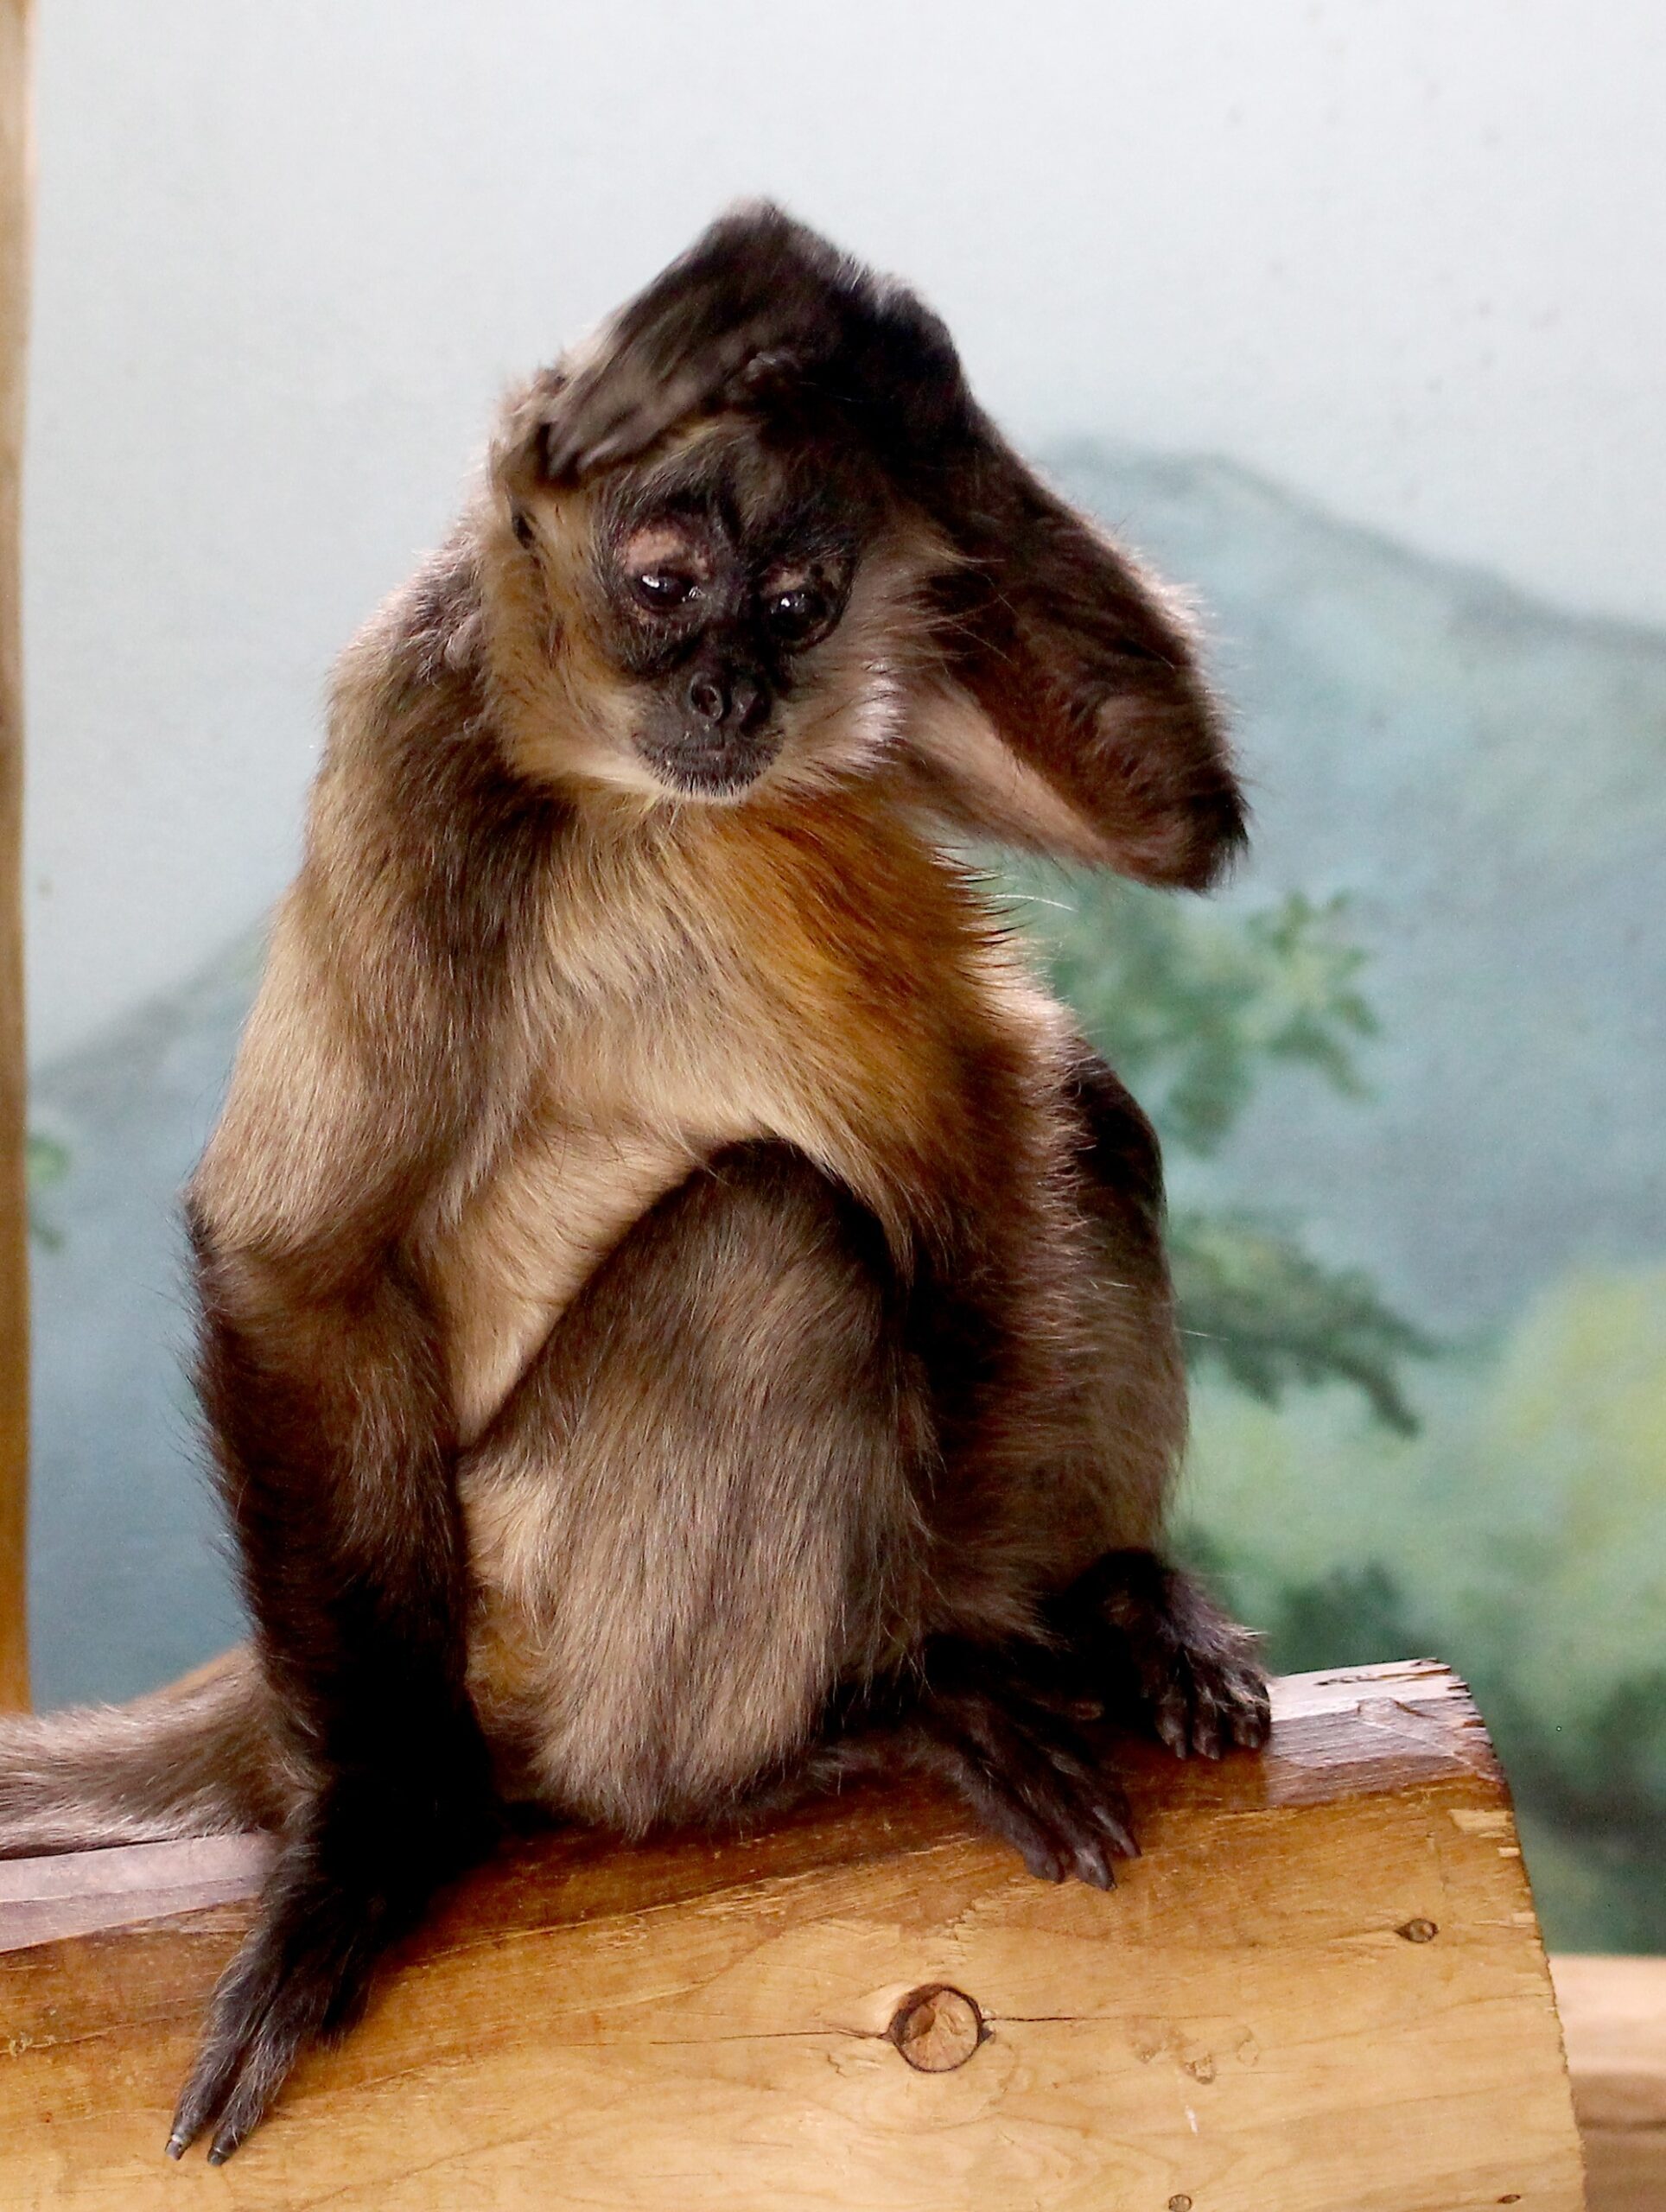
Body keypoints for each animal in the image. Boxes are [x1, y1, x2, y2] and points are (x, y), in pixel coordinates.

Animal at [0, 204, 1268, 2162]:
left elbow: (1169, 817)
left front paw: (843, 323)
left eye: (798, 604)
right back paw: (808, 1741)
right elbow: (297, 1253)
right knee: (773, 1245)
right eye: (666, 580)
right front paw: (376, 1834)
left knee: (1075, 1100)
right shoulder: (420, 708)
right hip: (517, 1602)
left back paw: (1089, 1605)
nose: (730, 689)